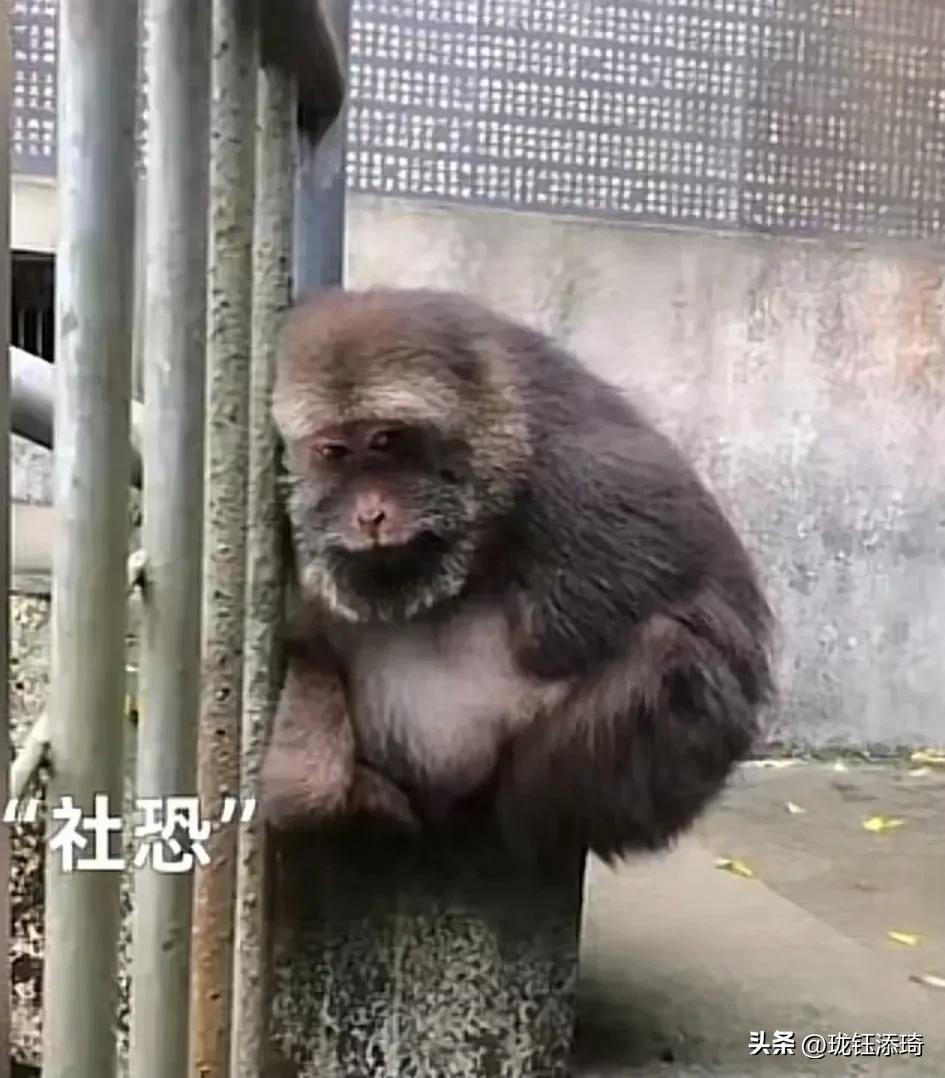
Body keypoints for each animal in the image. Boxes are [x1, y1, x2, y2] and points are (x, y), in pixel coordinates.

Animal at [259, 286, 775, 865]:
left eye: (387, 442)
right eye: (334, 452)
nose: (370, 515)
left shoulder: (584, 471)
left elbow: (705, 591)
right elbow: (306, 633)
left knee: (675, 652)